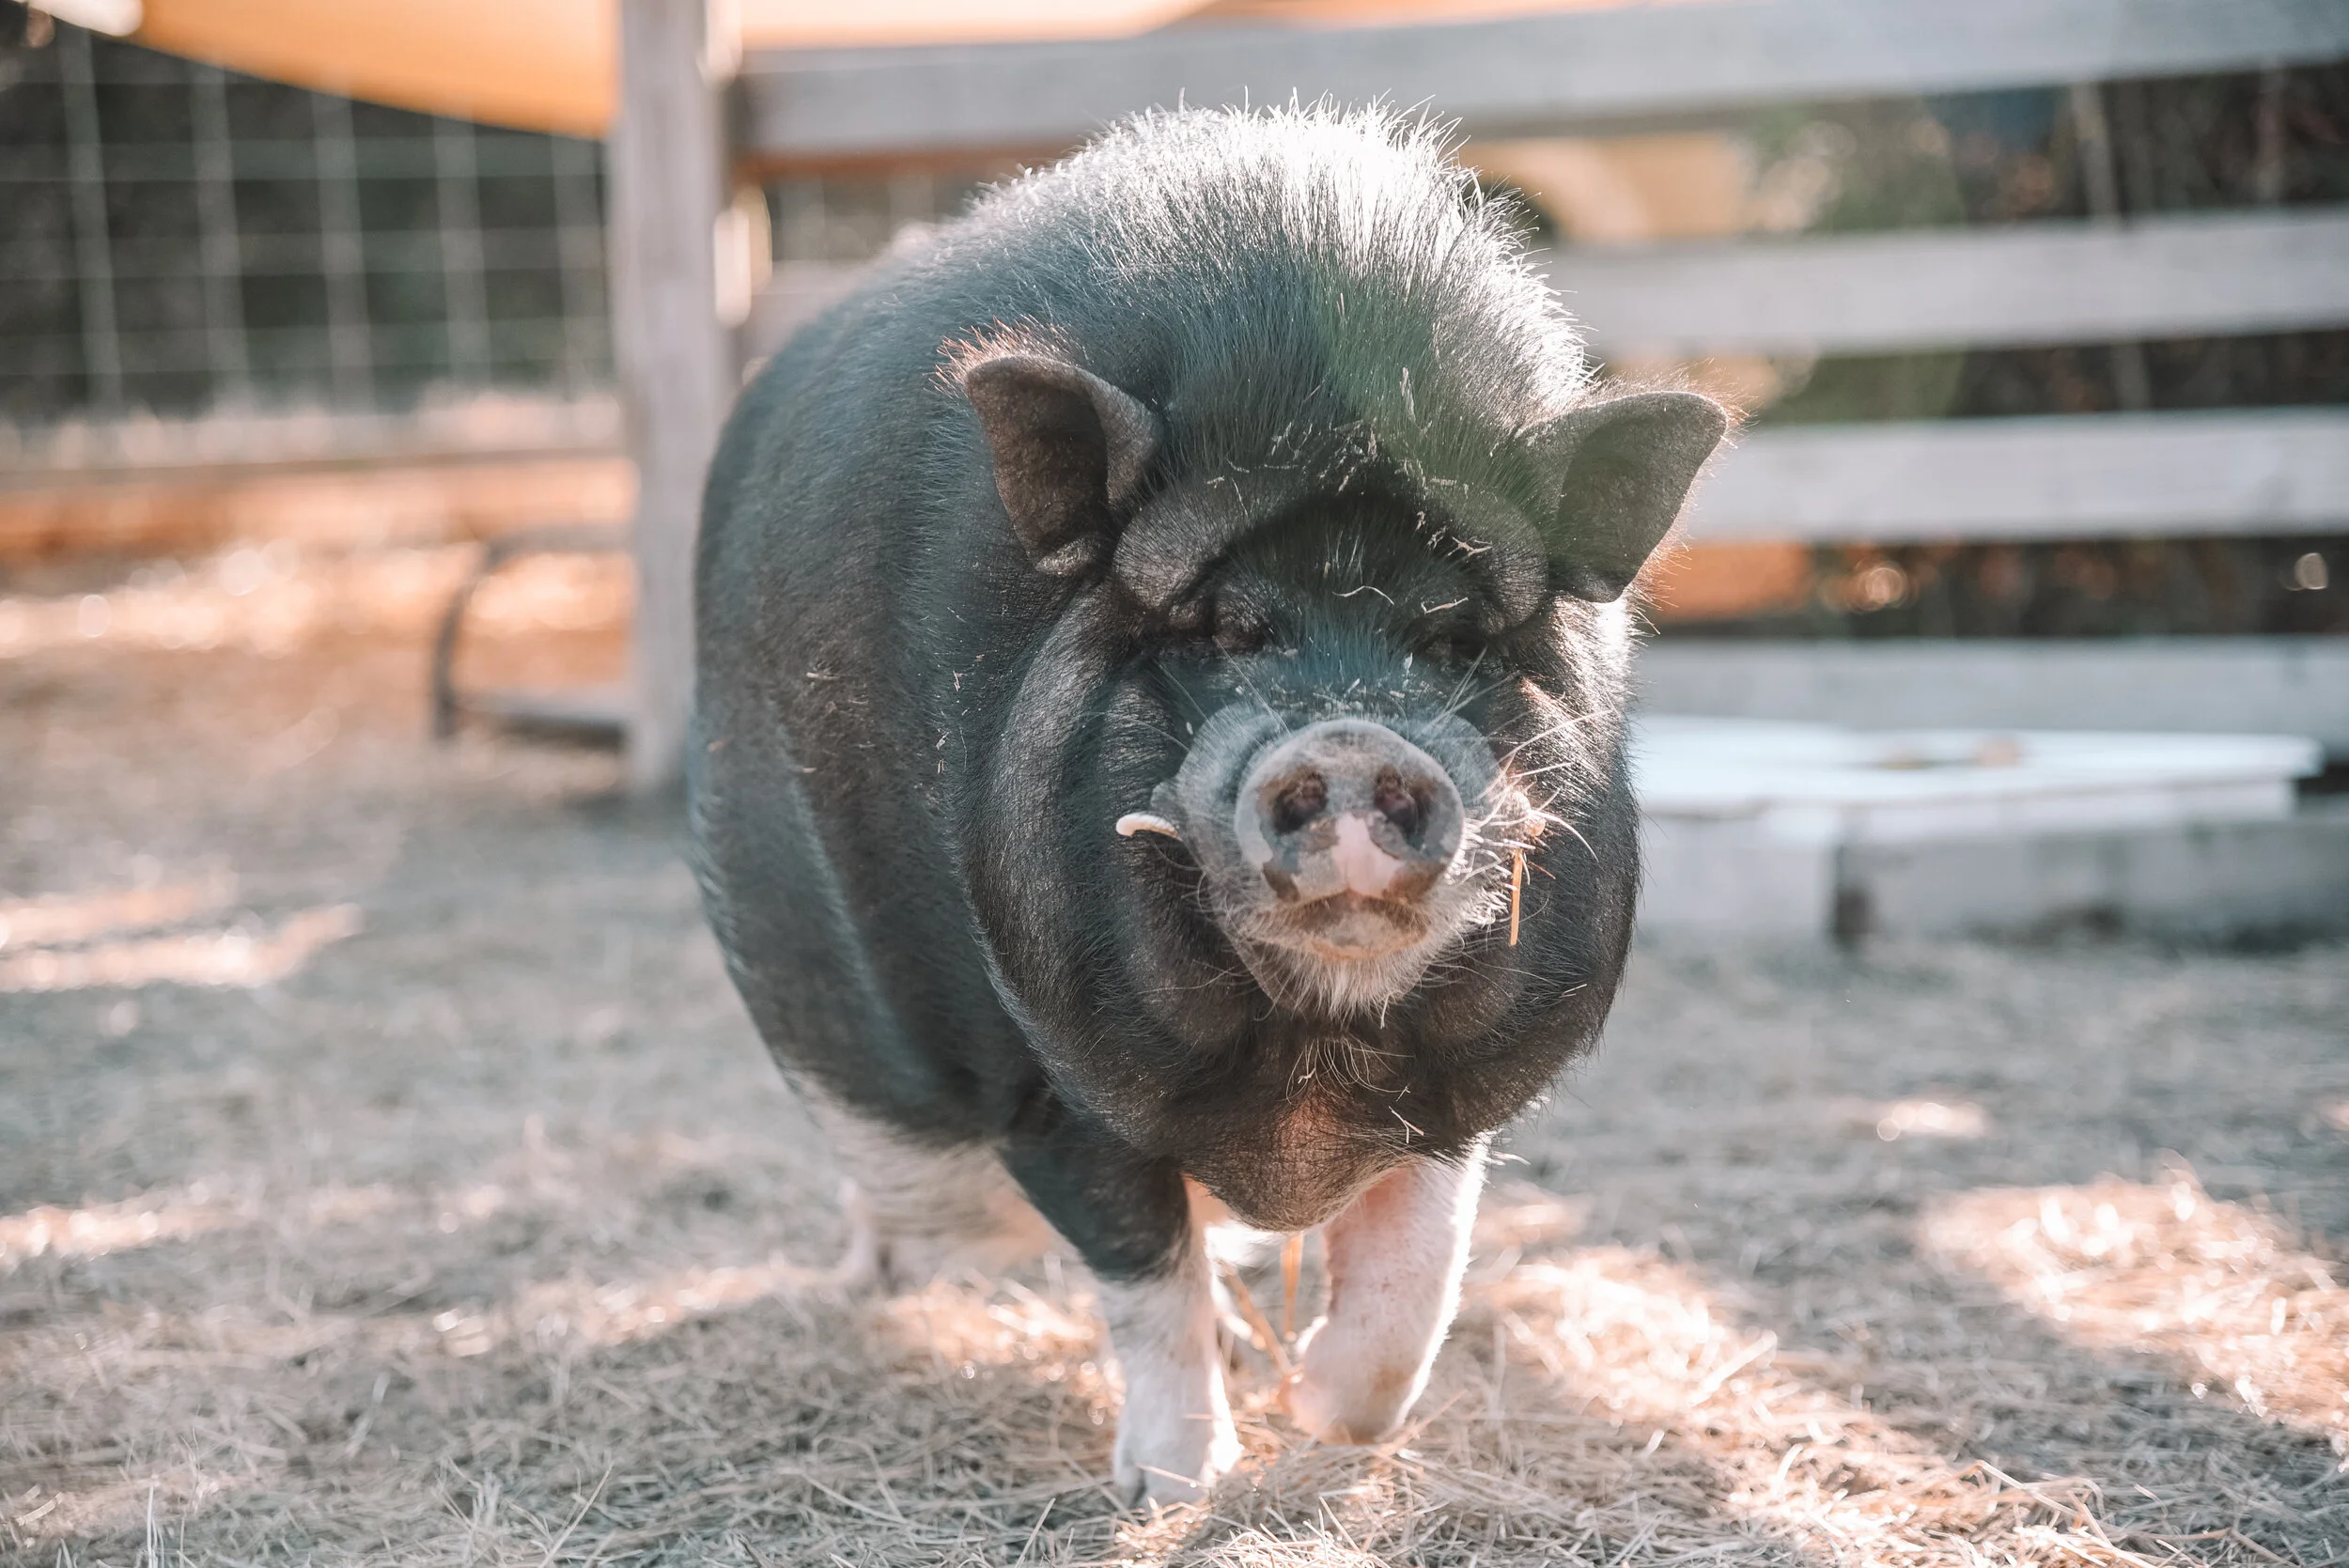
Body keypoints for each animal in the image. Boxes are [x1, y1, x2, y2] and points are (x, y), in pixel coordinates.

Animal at [689, 105, 1726, 1505]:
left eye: (1454, 640)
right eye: (1227, 629)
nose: (1348, 741)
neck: (1308, 1052)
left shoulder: (1459, 1091)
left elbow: (1419, 1267)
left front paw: (1329, 1416)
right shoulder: (1035, 1080)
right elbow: (1140, 1269)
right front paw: (1170, 1488)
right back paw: (865, 1288)